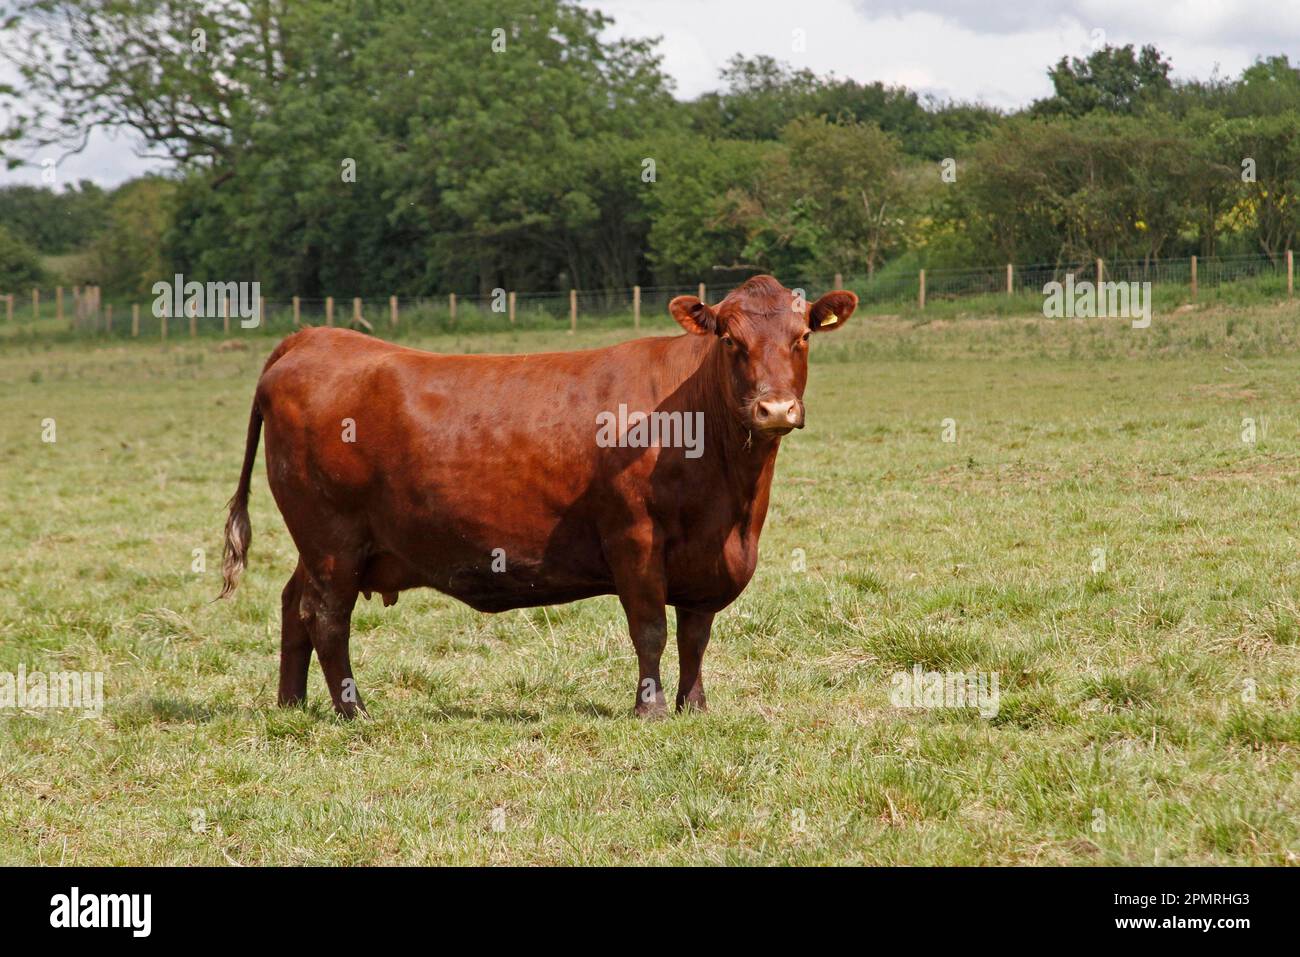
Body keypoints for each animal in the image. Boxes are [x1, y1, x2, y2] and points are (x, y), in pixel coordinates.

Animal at [219, 275, 857, 718]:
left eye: (802, 337)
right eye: (729, 338)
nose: (775, 408)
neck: (732, 501)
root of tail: (314, 338)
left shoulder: (708, 558)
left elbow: (695, 635)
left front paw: (693, 707)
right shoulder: (634, 538)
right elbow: (650, 627)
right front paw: (649, 709)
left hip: (321, 546)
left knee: (293, 606)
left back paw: (291, 704)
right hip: (332, 539)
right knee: (326, 617)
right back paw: (355, 712)